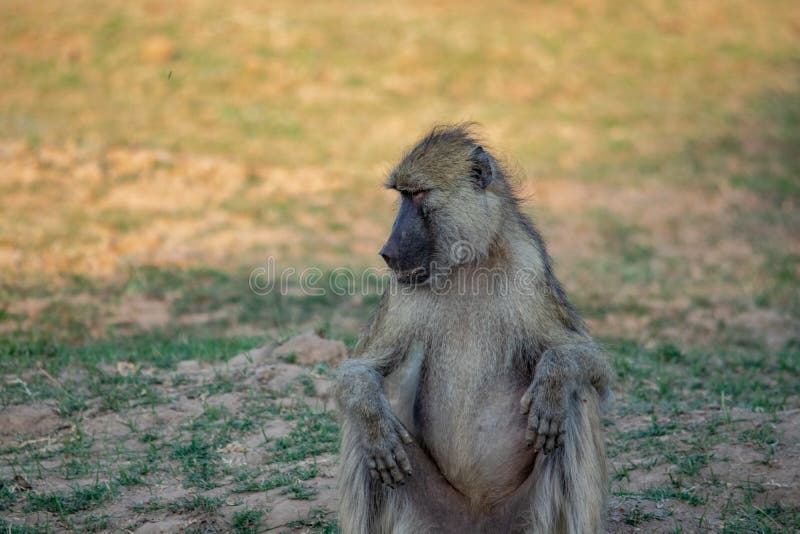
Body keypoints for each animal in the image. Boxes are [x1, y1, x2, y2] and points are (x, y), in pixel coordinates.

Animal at [334, 124, 612, 534]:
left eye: (418, 195)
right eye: (401, 196)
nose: (387, 251)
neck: (469, 264)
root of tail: (478, 520)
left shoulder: (529, 269)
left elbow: (592, 365)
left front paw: (553, 381)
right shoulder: (403, 286)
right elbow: (359, 371)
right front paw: (374, 426)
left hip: (522, 516)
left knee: (577, 399)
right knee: (357, 413)